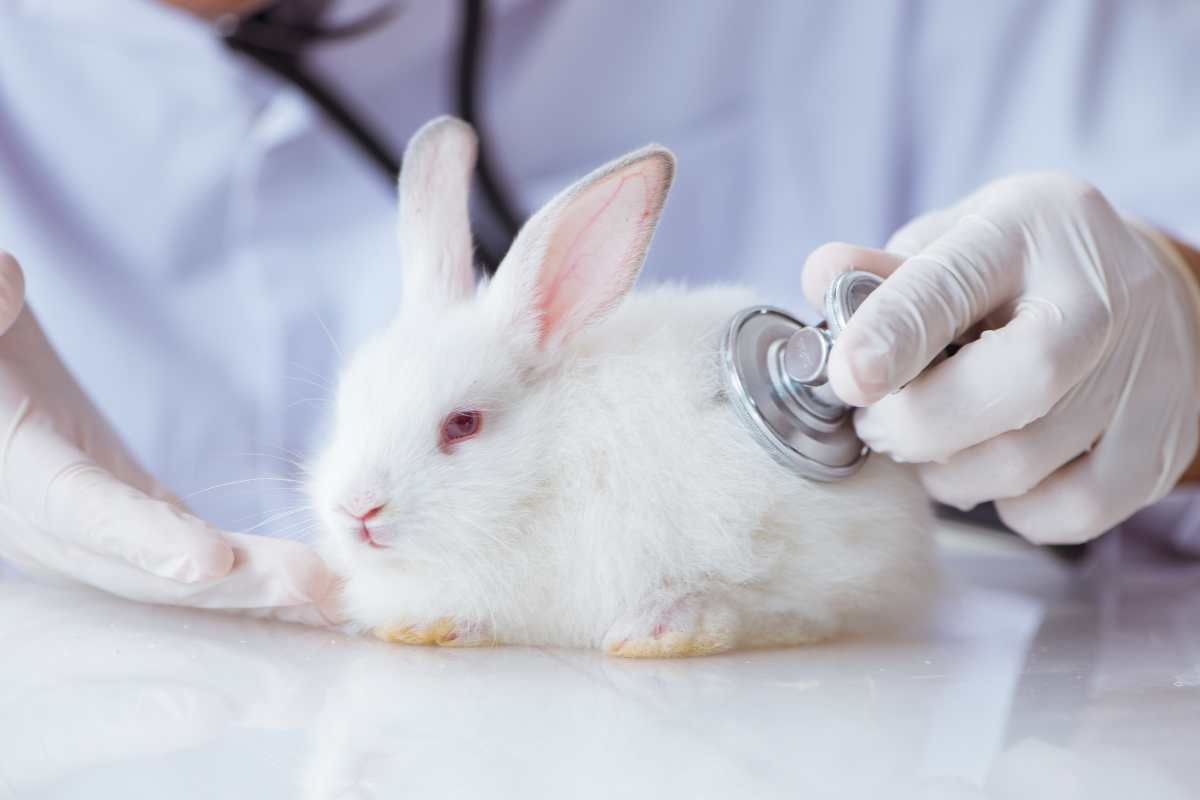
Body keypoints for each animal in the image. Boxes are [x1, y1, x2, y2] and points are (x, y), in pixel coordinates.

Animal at [309, 116, 934, 658]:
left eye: (463, 424)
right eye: (345, 409)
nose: (357, 510)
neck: (544, 467)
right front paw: (415, 625)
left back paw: (662, 629)